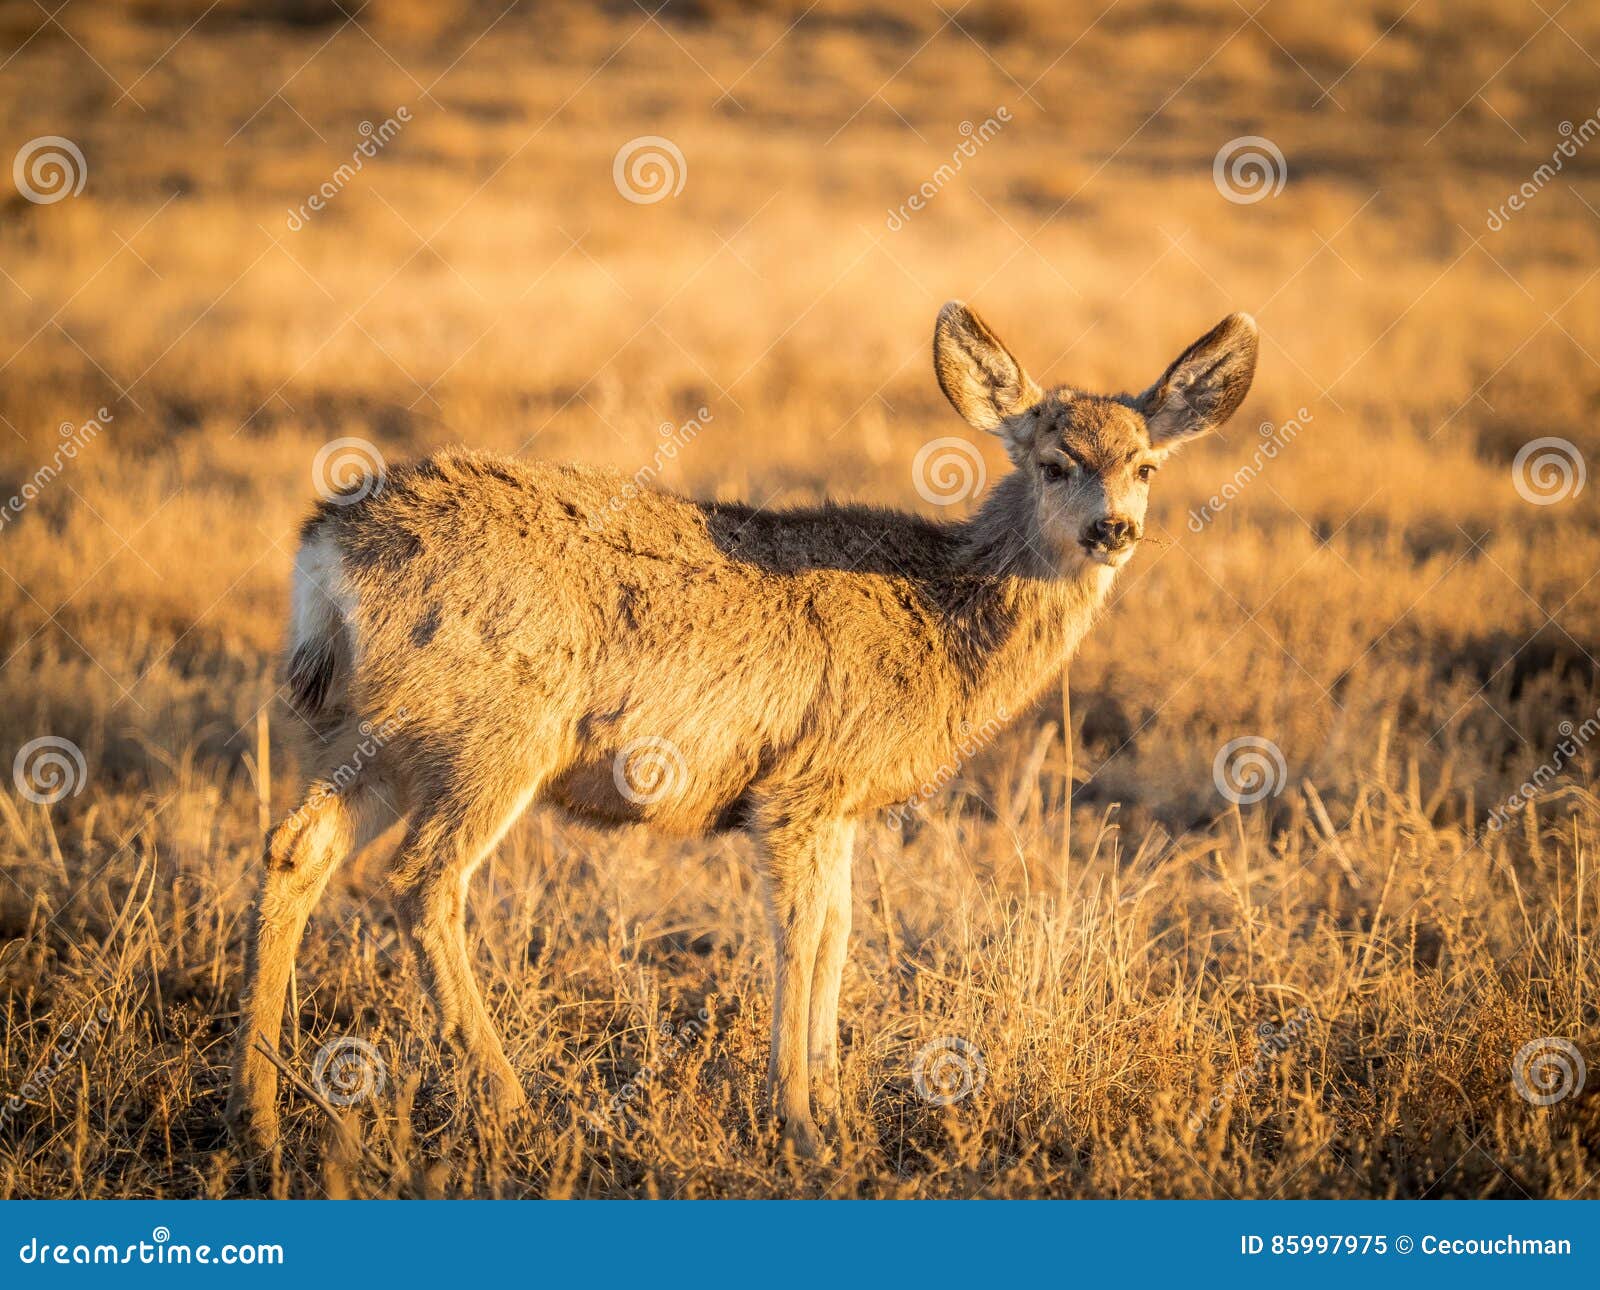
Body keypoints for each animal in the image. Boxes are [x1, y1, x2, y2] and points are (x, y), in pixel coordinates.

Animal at [227, 302, 1258, 1159]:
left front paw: (838, 1112)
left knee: (296, 846)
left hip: (382, 736)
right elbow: (798, 934)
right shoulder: (801, 787)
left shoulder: (841, 805)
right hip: (491, 730)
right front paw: (798, 1124)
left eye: (1146, 466)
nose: (1113, 529)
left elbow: (841, 932)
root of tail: (326, 549)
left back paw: (261, 1117)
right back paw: (515, 1105)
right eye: (1054, 462)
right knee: (422, 881)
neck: (938, 614)